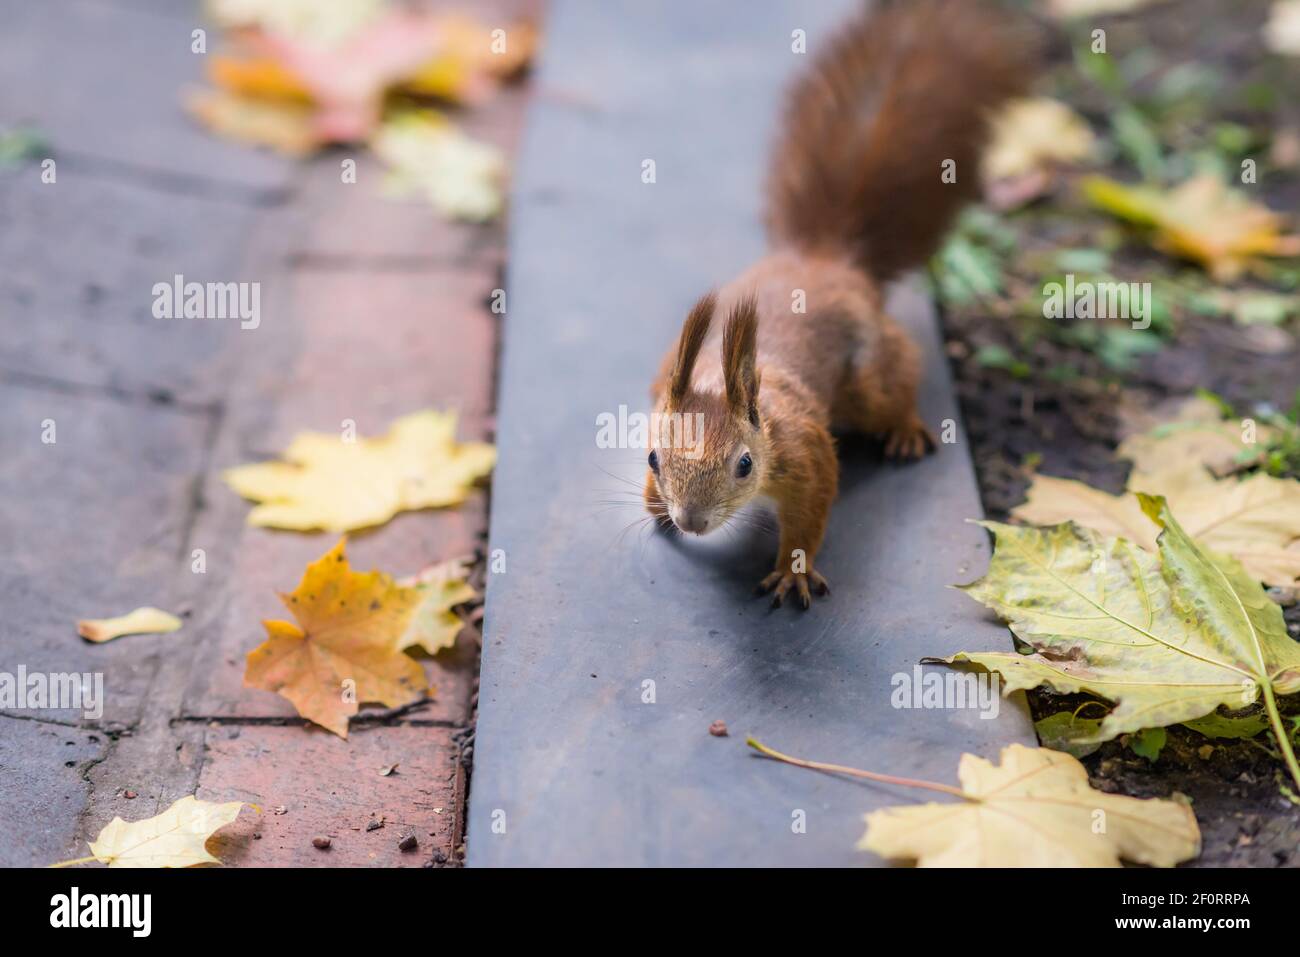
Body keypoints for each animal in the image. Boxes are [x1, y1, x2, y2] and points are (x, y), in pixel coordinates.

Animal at [643, 0, 1035, 609]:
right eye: (653, 458)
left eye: (745, 465)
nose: (692, 522)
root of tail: (824, 258)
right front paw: (652, 504)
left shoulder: (804, 453)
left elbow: (811, 511)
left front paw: (793, 572)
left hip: (869, 378)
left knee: (896, 385)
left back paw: (905, 429)